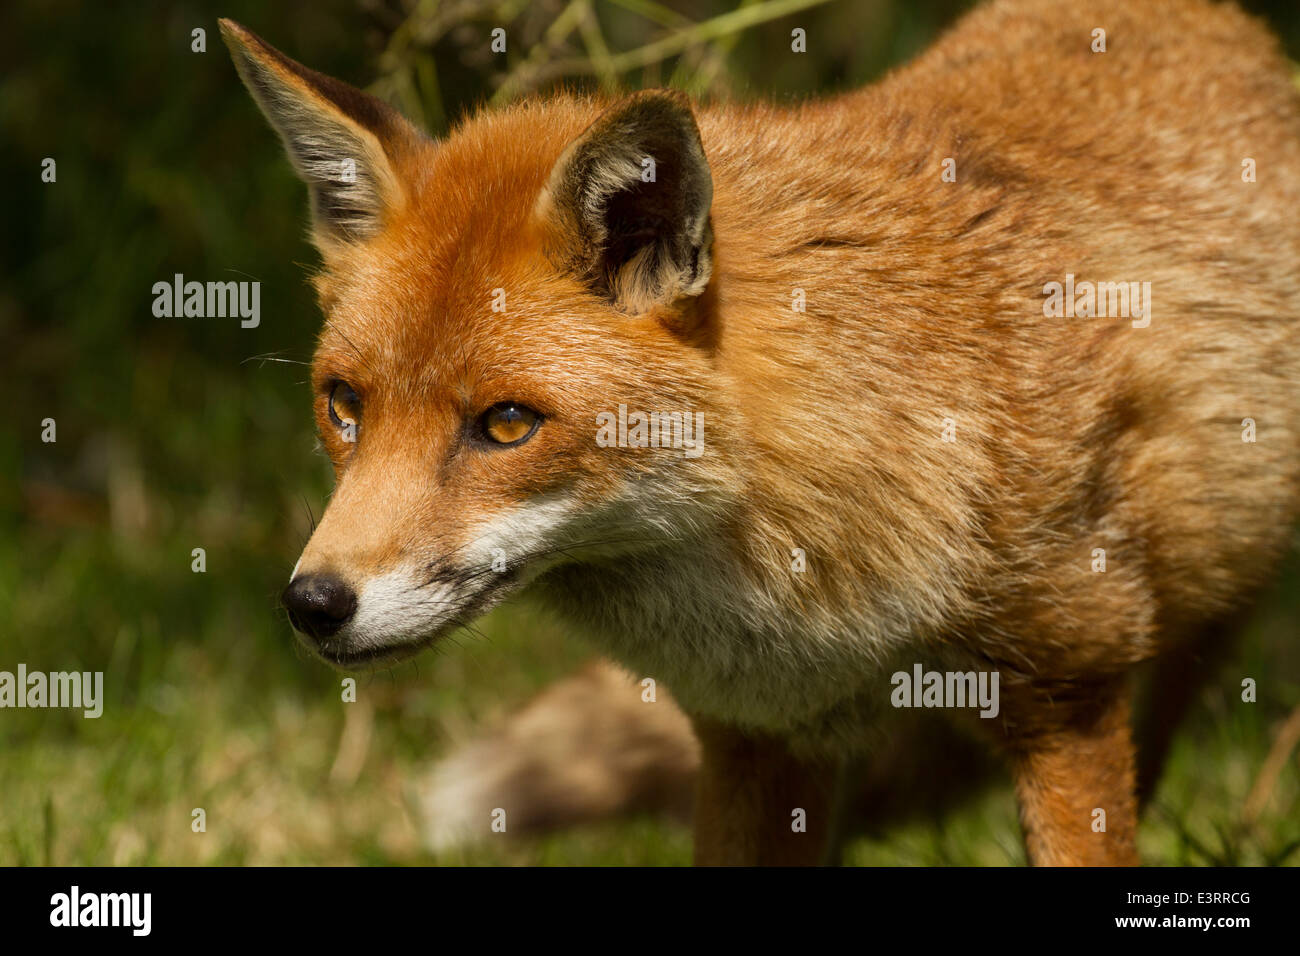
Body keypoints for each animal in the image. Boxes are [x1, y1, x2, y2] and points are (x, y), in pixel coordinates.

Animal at [221, 0, 1300, 866]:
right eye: (345, 405)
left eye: (507, 424)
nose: (313, 604)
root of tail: (1217, 22)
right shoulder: (759, 734)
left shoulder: (1069, 695)